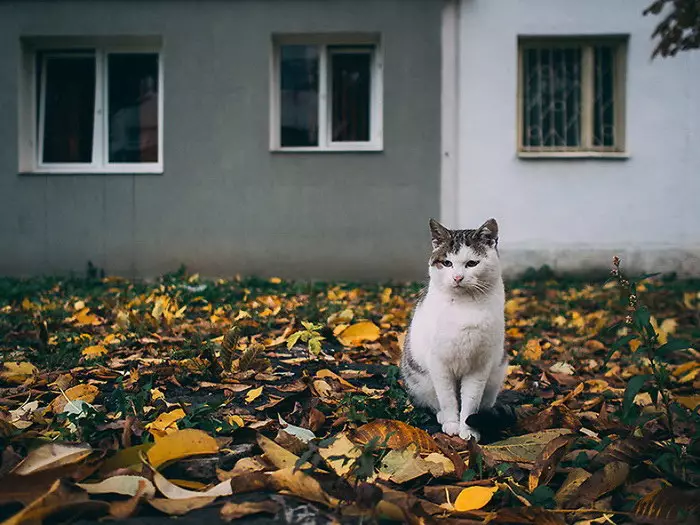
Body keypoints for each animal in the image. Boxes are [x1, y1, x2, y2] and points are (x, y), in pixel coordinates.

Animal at [400, 217, 508, 442]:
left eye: (472, 263)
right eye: (447, 263)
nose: (458, 278)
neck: (464, 305)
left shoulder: (479, 366)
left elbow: (471, 402)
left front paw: (468, 430)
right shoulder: (439, 363)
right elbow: (448, 398)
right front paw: (451, 423)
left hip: (495, 376)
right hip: (419, 379)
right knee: (433, 402)